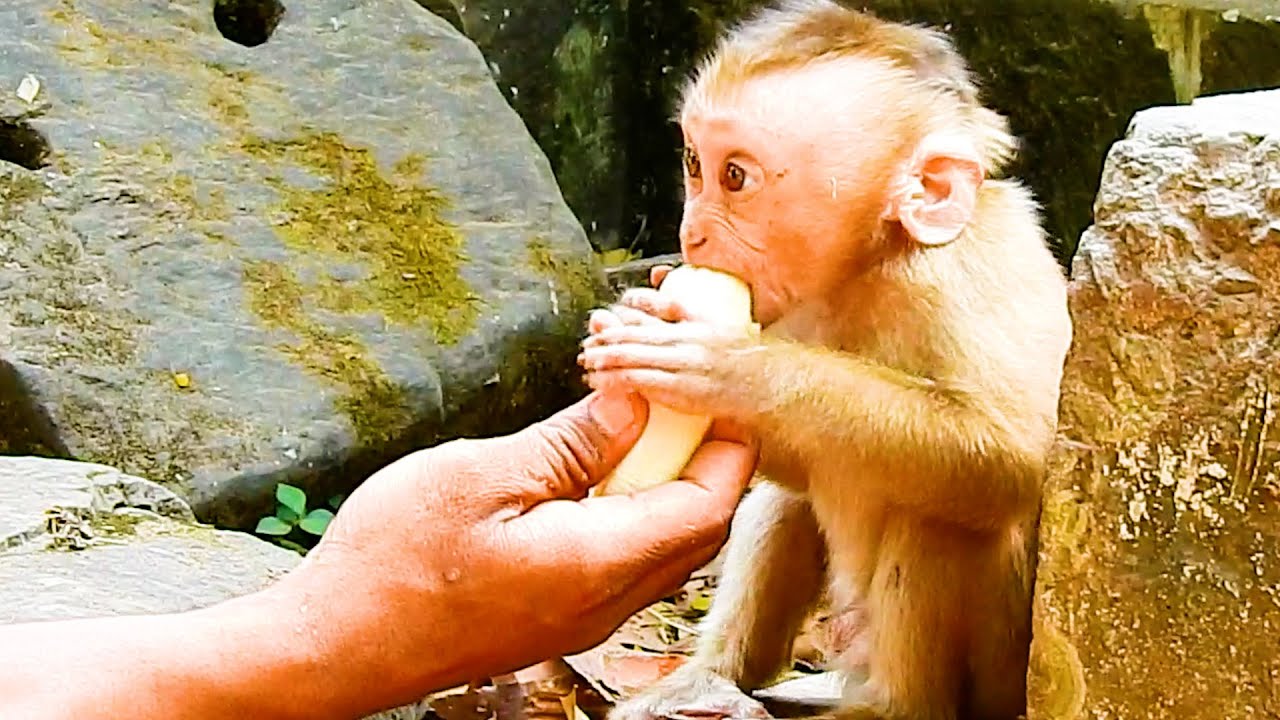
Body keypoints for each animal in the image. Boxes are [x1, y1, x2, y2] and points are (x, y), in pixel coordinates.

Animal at [576, 2, 1073, 719]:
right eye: (694, 164)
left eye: (735, 177)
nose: (690, 235)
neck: (870, 266)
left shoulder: (961, 276)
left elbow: (1014, 451)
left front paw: (727, 367)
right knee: (795, 491)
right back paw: (710, 680)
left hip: (1001, 671)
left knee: (945, 509)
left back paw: (895, 707)